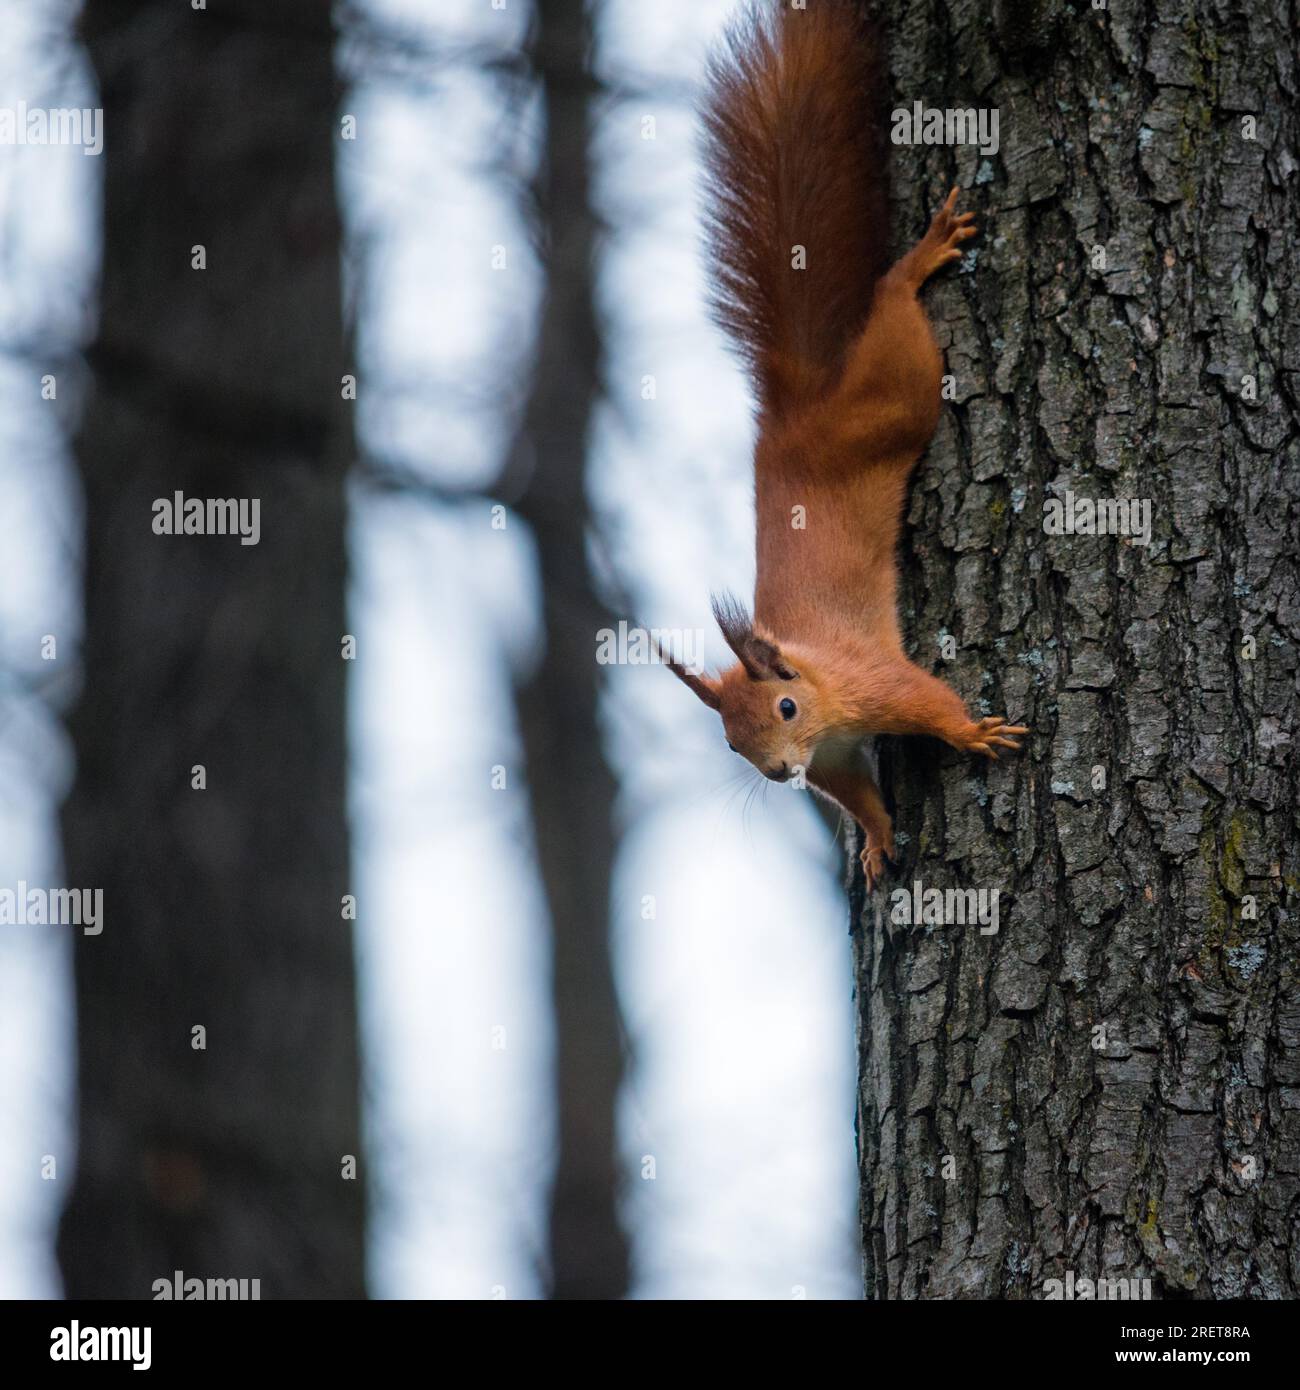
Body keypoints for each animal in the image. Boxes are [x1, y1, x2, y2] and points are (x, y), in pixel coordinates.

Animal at [661, 0, 1029, 891]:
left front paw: (973, 735)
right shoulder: (834, 763)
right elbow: (859, 796)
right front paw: (876, 839)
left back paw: (920, 257)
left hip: (899, 391)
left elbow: (930, 700)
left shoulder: (875, 682)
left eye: (786, 706)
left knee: (894, 307)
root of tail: (794, 411)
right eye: (731, 742)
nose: (779, 775)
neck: (822, 693)